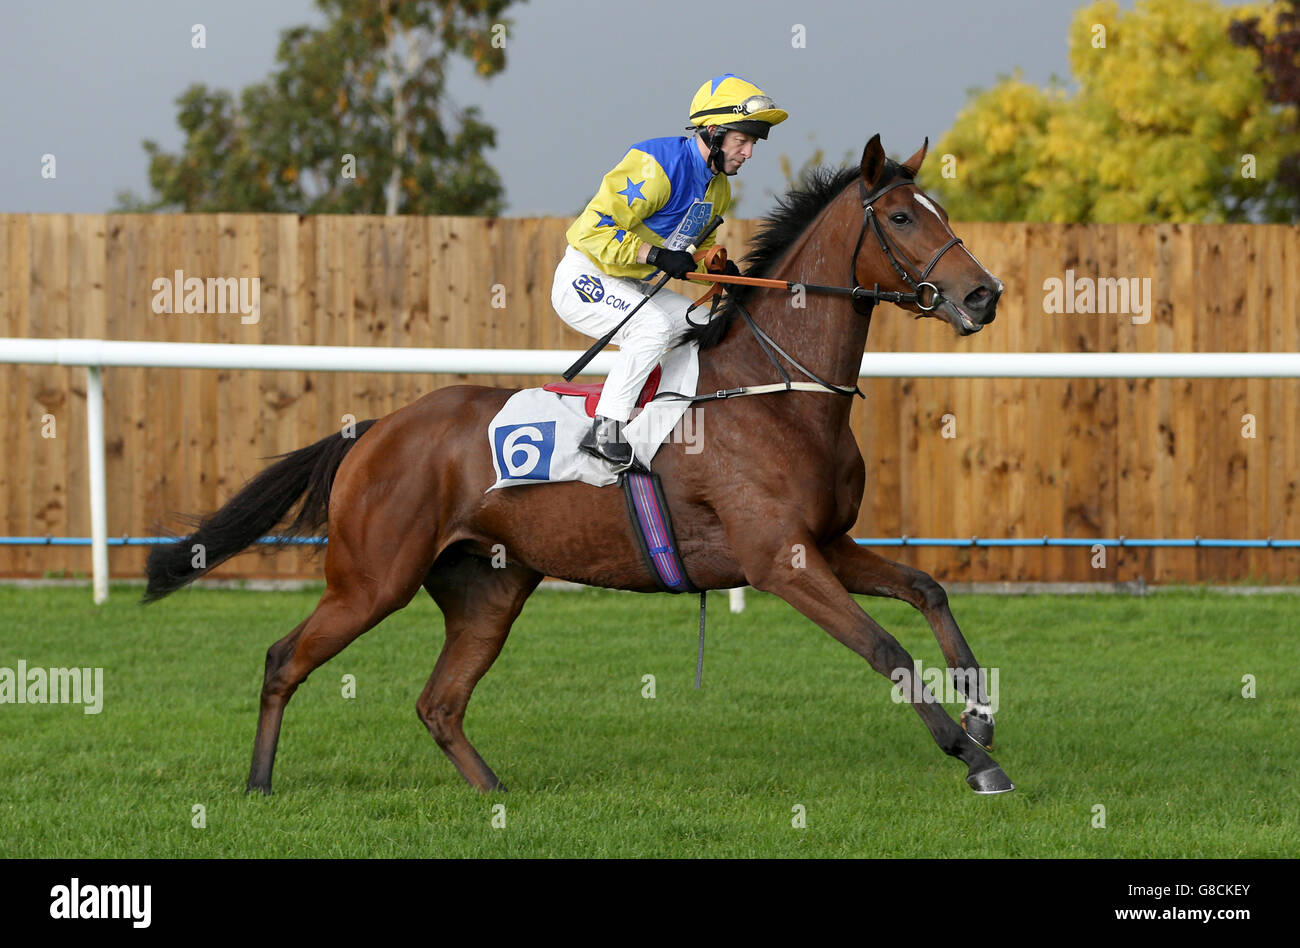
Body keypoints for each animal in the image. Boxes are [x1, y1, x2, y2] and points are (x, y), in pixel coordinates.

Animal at [144, 133, 1013, 796]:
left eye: (941, 212)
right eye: (899, 216)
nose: (985, 295)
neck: (777, 391)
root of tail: (375, 430)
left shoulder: (827, 543)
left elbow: (928, 590)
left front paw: (979, 708)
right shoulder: (780, 558)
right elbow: (885, 649)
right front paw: (970, 755)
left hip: (488, 589)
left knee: (439, 703)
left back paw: (493, 793)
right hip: (370, 580)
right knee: (284, 659)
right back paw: (259, 785)